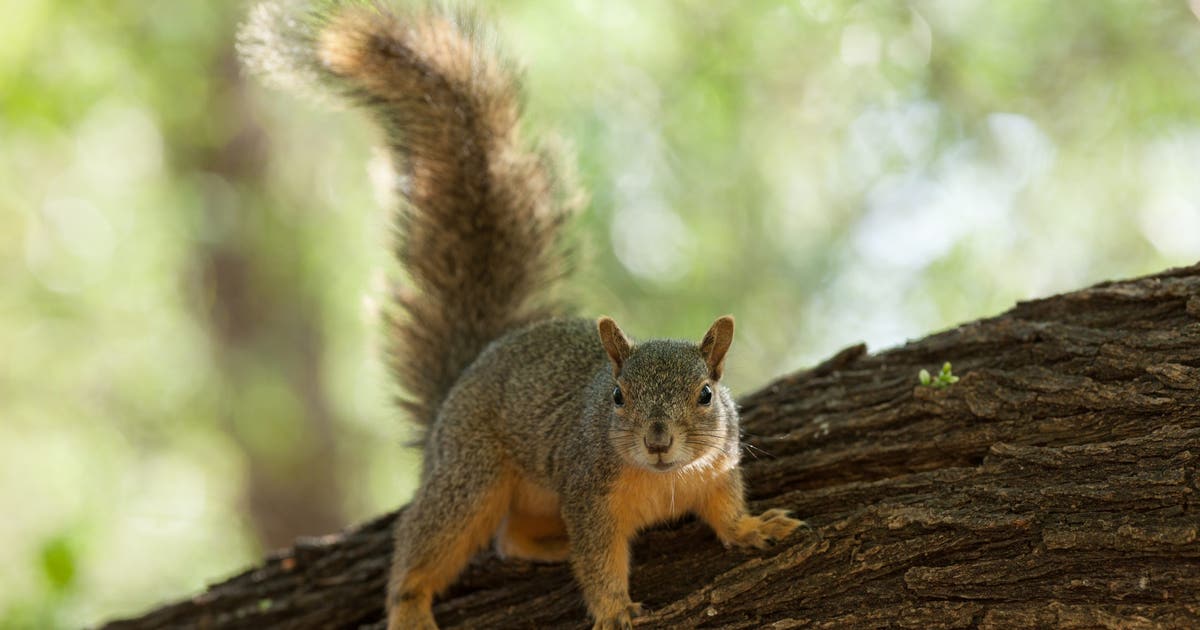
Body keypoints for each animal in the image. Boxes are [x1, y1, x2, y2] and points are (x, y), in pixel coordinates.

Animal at [238, 2, 803, 628]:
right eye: (618, 396)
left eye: (706, 394)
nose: (658, 440)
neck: (666, 477)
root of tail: (465, 378)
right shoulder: (587, 497)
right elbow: (599, 561)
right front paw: (613, 611)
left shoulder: (719, 473)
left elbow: (726, 512)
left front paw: (755, 528)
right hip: (473, 475)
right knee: (429, 541)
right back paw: (412, 603)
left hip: (533, 493)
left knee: (511, 537)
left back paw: (549, 547)